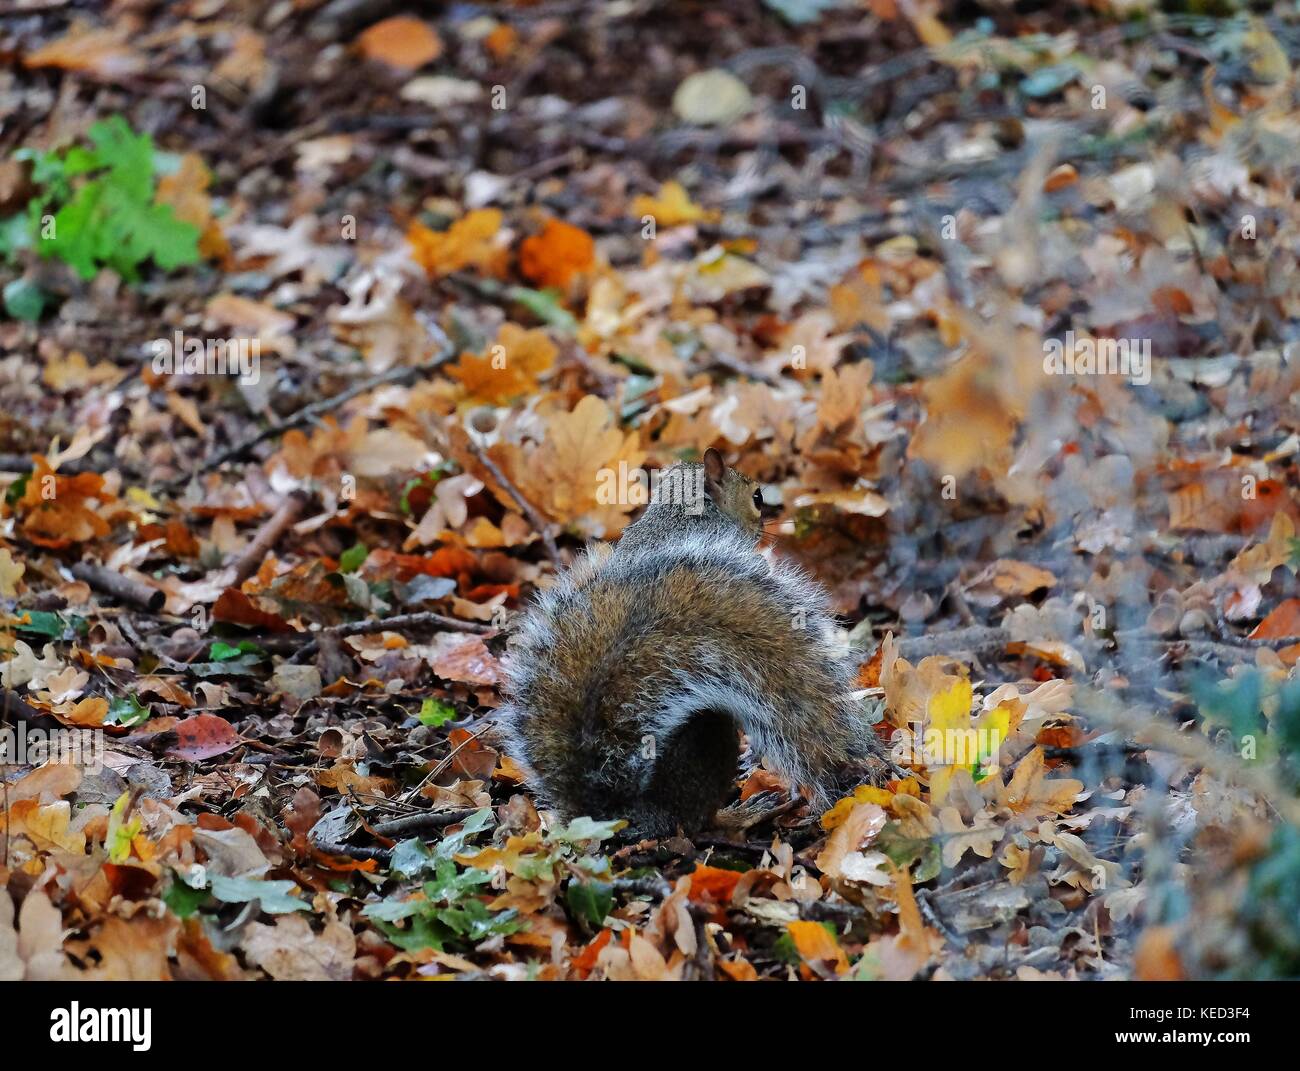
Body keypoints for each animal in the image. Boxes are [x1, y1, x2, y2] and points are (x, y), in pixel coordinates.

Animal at [495, 448, 887, 836]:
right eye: (757, 497)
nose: (763, 527)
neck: (681, 511)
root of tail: (622, 812)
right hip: (712, 747)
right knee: (697, 822)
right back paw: (741, 814)